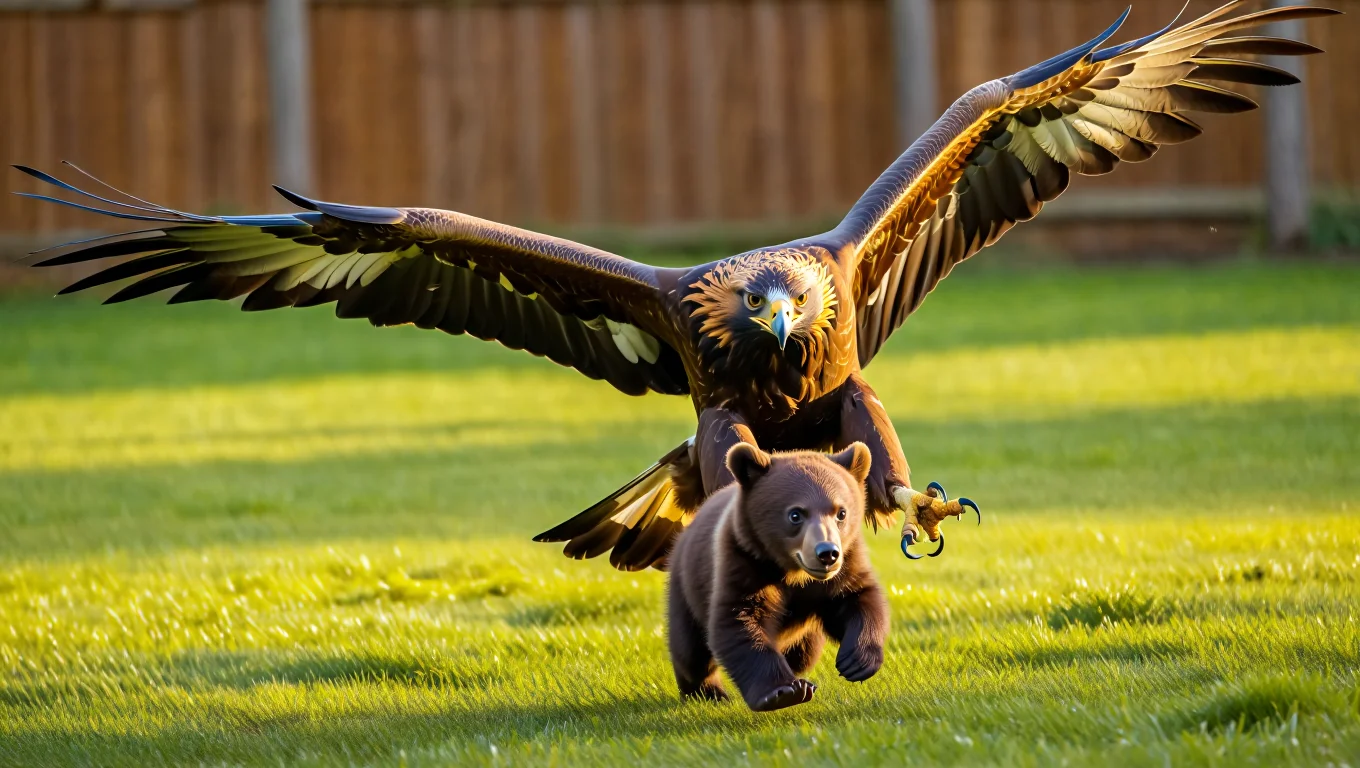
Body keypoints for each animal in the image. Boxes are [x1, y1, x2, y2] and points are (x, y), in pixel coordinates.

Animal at [666, 440, 889, 711]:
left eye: (841, 513)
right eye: (795, 514)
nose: (827, 553)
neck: (792, 572)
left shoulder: (842, 569)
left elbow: (859, 598)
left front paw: (856, 660)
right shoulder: (744, 560)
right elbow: (738, 620)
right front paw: (785, 691)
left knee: (804, 653)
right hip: (686, 585)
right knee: (690, 651)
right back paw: (706, 691)